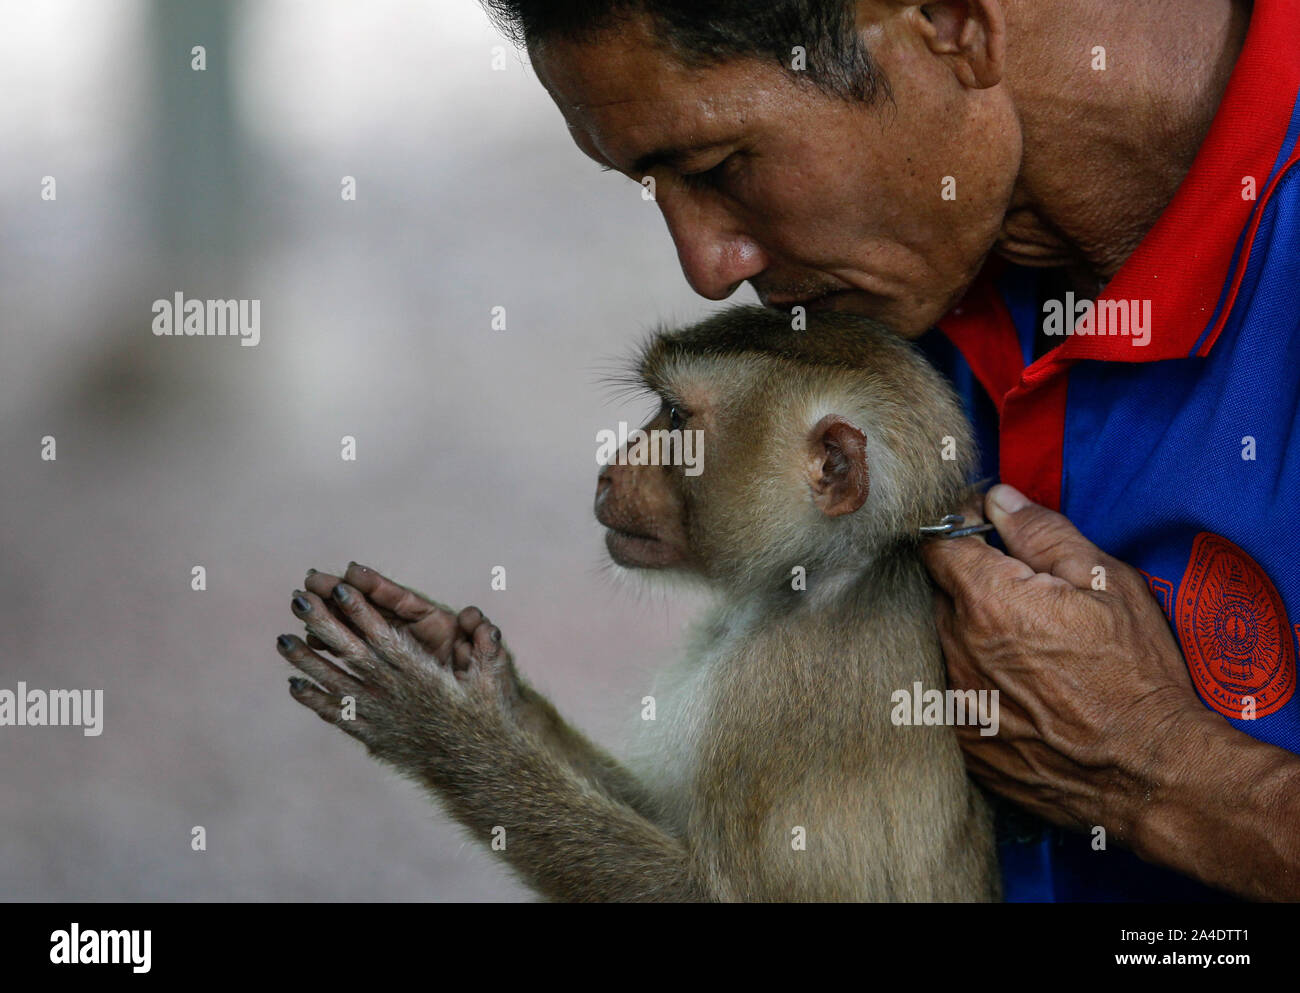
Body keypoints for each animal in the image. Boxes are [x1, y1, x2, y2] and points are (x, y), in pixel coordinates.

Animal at [275, 303, 1000, 902]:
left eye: (676, 420)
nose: (608, 468)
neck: (818, 578)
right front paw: (458, 654)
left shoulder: (789, 696)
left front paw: (437, 726)